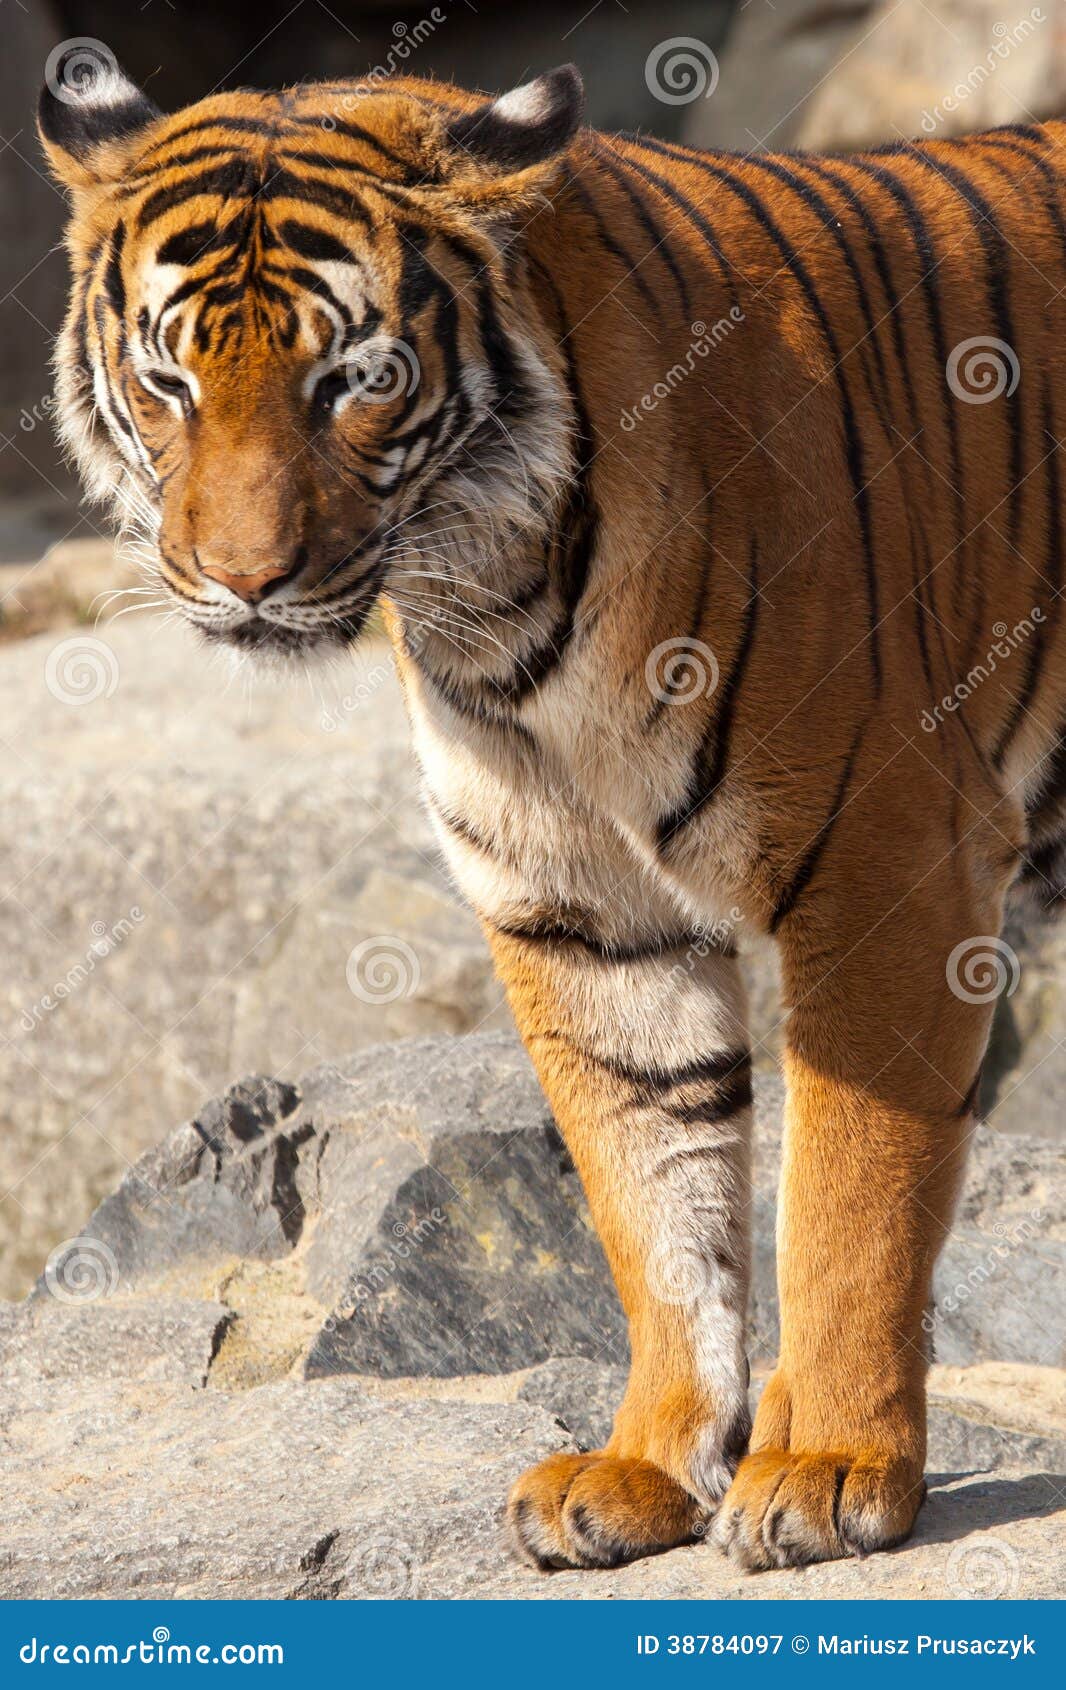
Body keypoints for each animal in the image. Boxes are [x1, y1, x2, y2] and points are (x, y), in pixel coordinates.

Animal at [38, 48, 1065, 1574]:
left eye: (354, 378)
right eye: (167, 380)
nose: (244, 580)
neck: (497, 588)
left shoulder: (886, 857)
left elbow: (846, 1191)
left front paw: (827, 1468)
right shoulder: (580, 907)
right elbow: (652, 1193)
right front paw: (646, 1465)